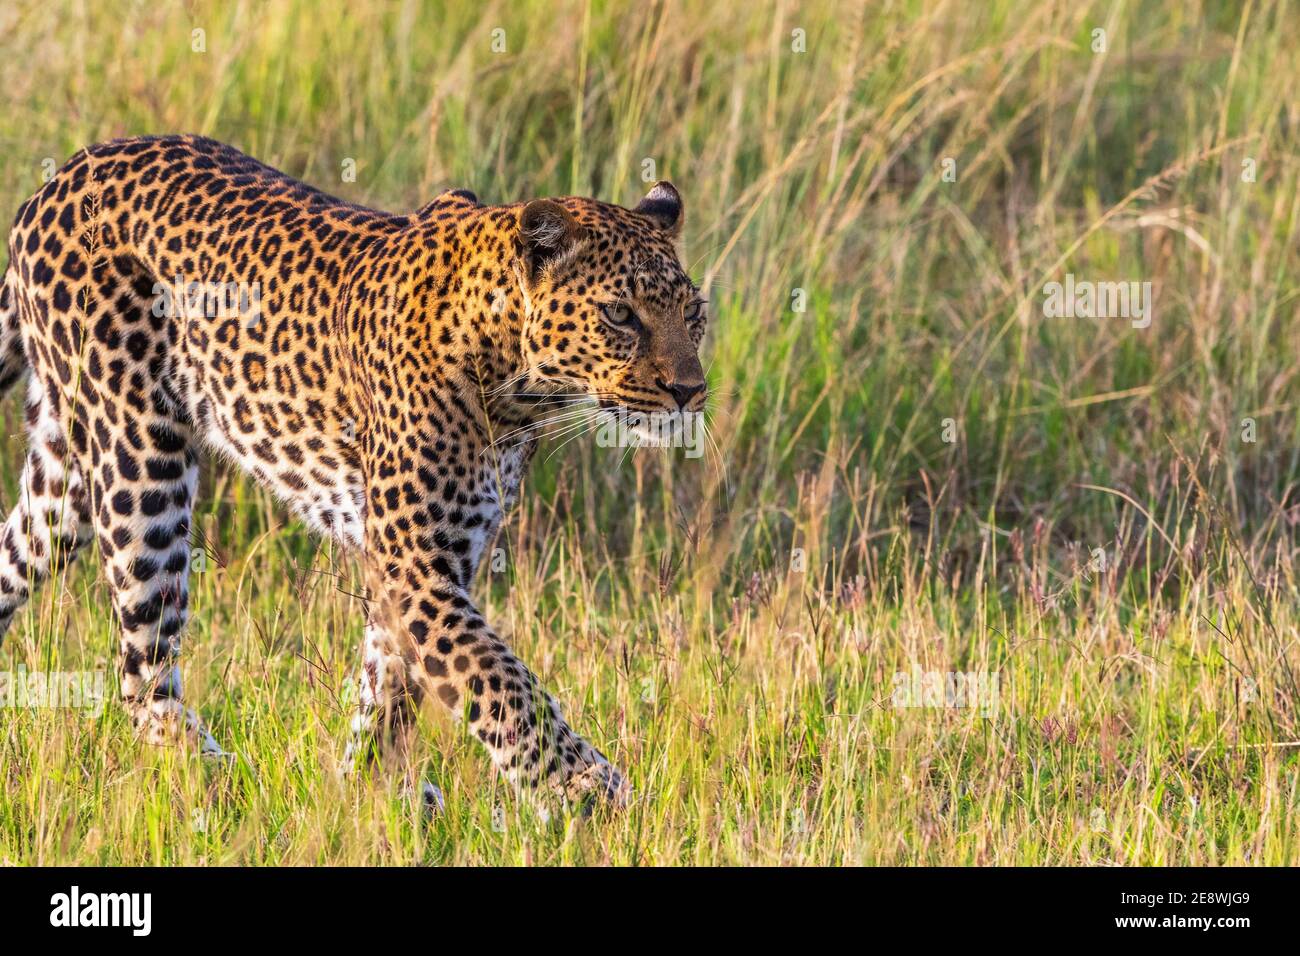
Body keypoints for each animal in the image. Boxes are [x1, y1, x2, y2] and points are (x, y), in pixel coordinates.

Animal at [0, 134, 708, 811]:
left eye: (693, 313)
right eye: (620, 315)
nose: (689, 391)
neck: (515, 385)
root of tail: (53, 183)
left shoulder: (440, 557)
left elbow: (391, 685)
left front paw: (365, 791)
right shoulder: (415, 564)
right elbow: (502, 685)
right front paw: (599, 800)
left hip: (65, 478)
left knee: (15, 559)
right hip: (138, 463)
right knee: (141, 673)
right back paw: (229, 786)